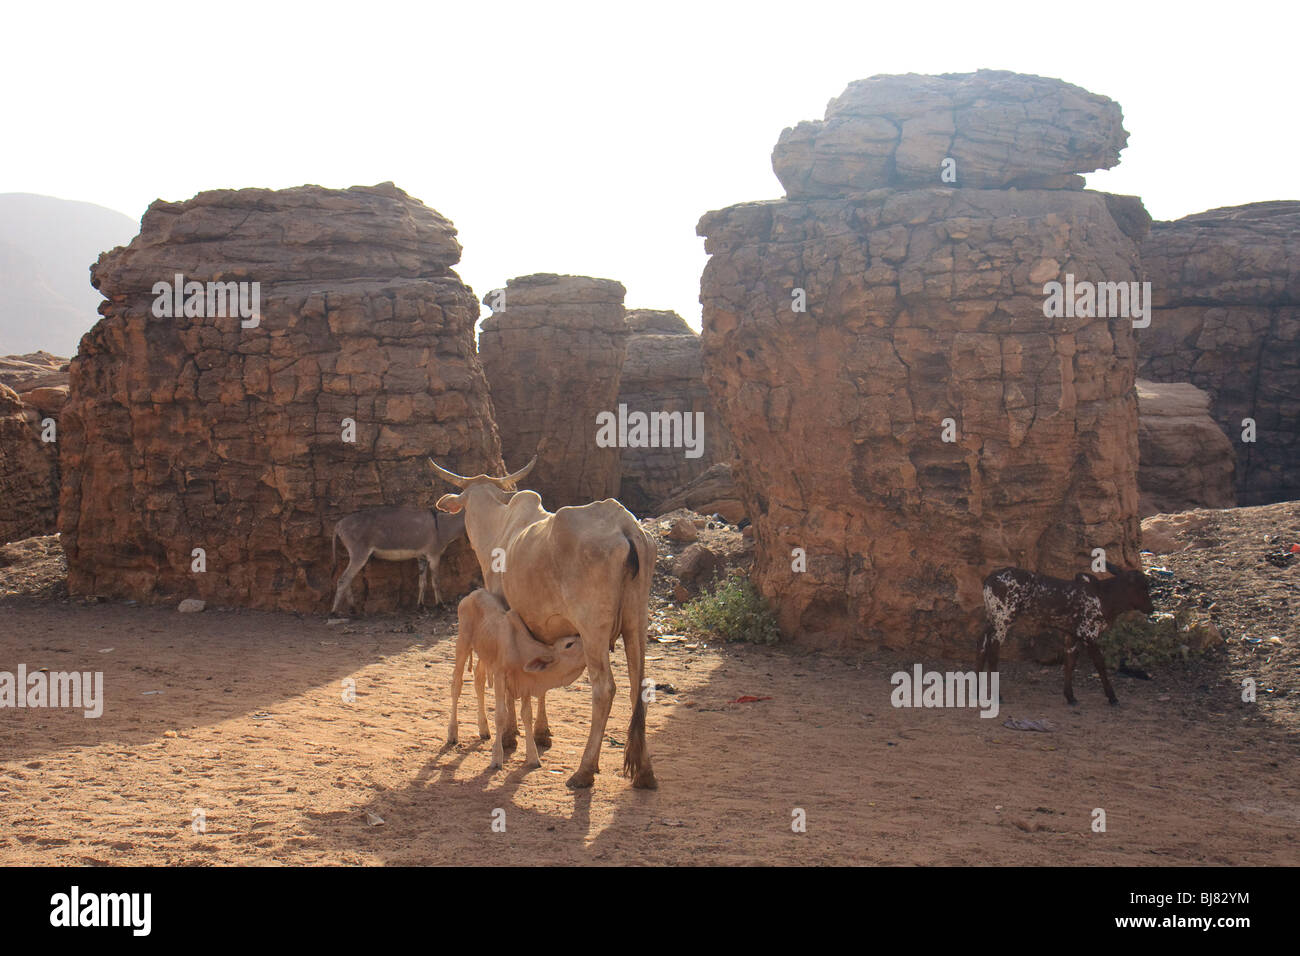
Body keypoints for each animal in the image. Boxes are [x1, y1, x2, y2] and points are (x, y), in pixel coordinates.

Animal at [330, 507, 466, 615]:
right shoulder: (434, 556)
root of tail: (338, 524)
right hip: (359, 554)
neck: (442, 526)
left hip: (354, 555)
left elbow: (422, 583)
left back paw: (352, 609)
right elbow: (436, 582)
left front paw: (421, 607)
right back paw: (334, 612)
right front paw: (441, 606)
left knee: (347, 579)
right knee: (343, 579)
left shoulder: (421, 557)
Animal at [448, 588, 587, 771]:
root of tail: (471, 595)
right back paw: (452, 733)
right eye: (569, 644)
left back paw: (483, 728)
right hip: (462, 643)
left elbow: (527, 715)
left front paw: (533, 757)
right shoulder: (500, 675)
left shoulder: (525, 683)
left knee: (479, 680)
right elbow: (501, 715)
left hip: (484, 656)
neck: (519, 649)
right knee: (456, 685)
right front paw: (496, 758)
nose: (586, 640)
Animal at [977, 562, 1155, 705]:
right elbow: (1099, 663)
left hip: (991, 619)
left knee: (982, 645)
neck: (1104, 597)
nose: (1151, 608)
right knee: (993, 652)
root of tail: (988, 580)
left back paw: (977, 690)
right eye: (1143, 587)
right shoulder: (1088, 633)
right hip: (1003, 619)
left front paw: (1070, 697)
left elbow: (1070, 663)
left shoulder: (1072, 634)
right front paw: (1112, 697)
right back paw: (997, 695)